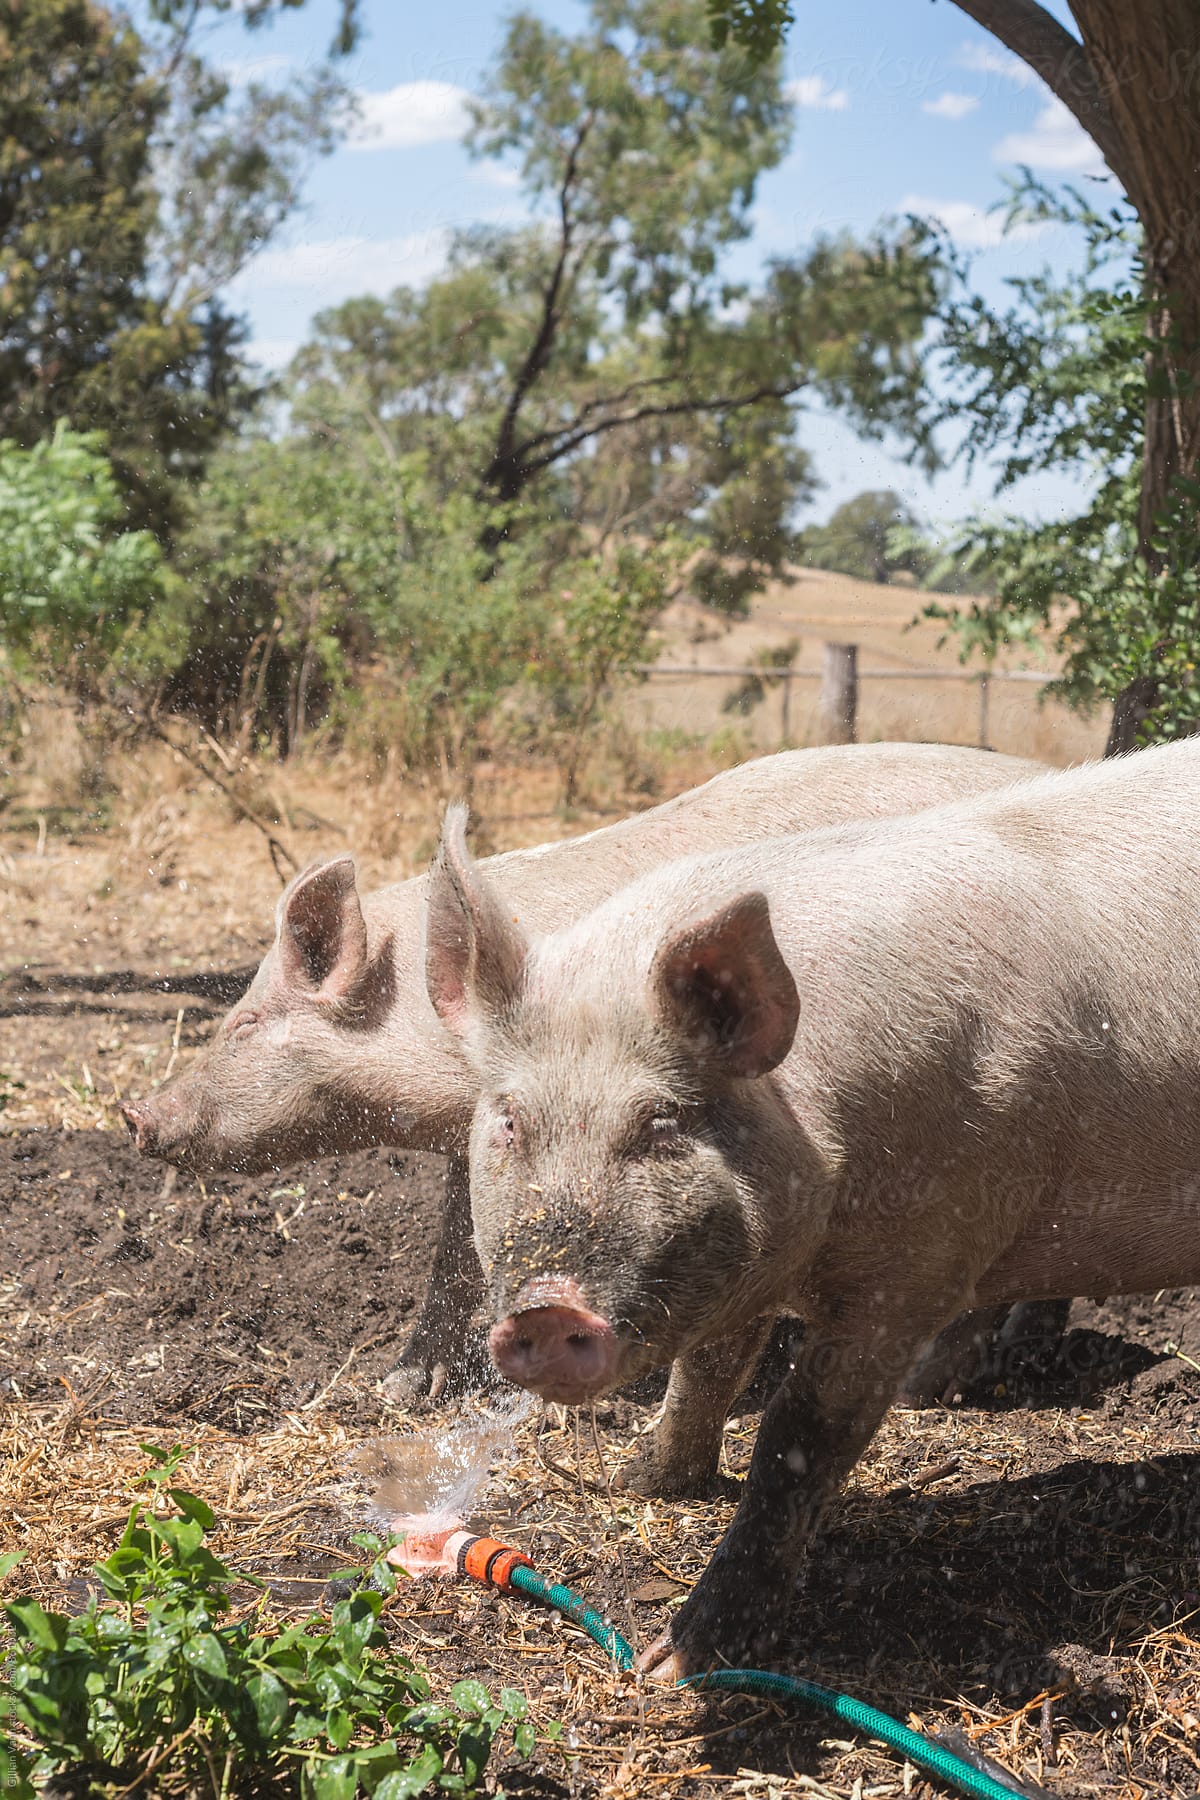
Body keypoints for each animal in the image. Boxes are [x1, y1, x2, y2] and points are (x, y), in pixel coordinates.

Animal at [424, 738, 1200, 1678]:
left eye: (662, 1122)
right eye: (509, 1118)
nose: (546, 1310)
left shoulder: (918, 1267)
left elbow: (801, 1431)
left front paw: (676, 1663)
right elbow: (707, 1369)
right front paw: (636, 1480)